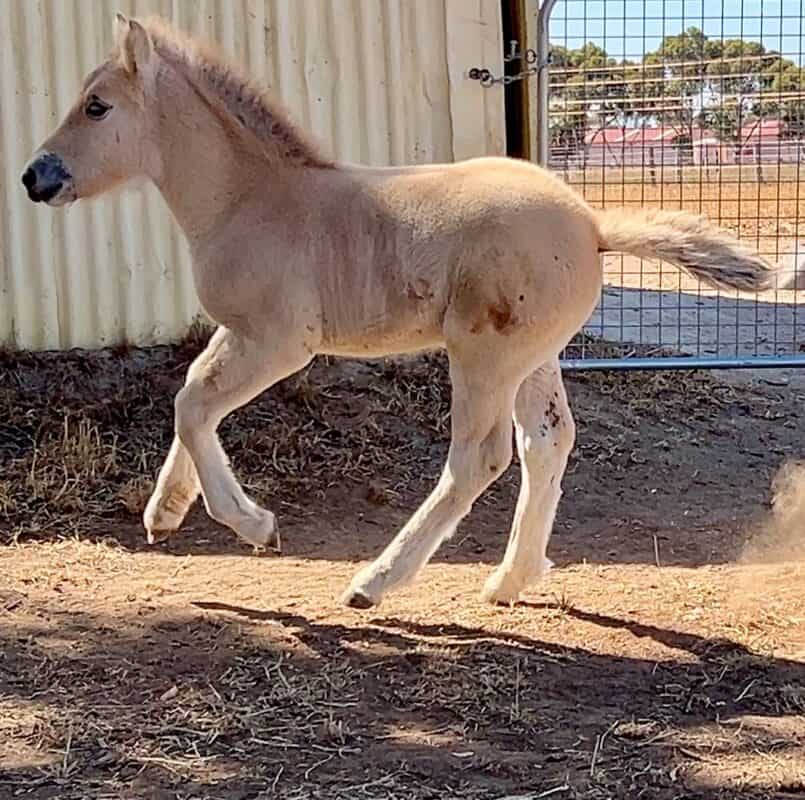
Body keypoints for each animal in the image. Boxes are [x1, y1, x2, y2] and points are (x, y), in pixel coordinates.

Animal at [22, 14, 776, 608]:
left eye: (96, 106)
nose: (35, 177)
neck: (250, 198)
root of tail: (593, 225)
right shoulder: (239, 332)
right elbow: (192, 394)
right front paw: (164, 512)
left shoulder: (278, 342)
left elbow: (192, 405)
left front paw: (253, 526)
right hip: (533, 358)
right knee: (548, 443)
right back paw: (510, 580)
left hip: (483, 356)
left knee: (480, 459)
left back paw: (374, 582)